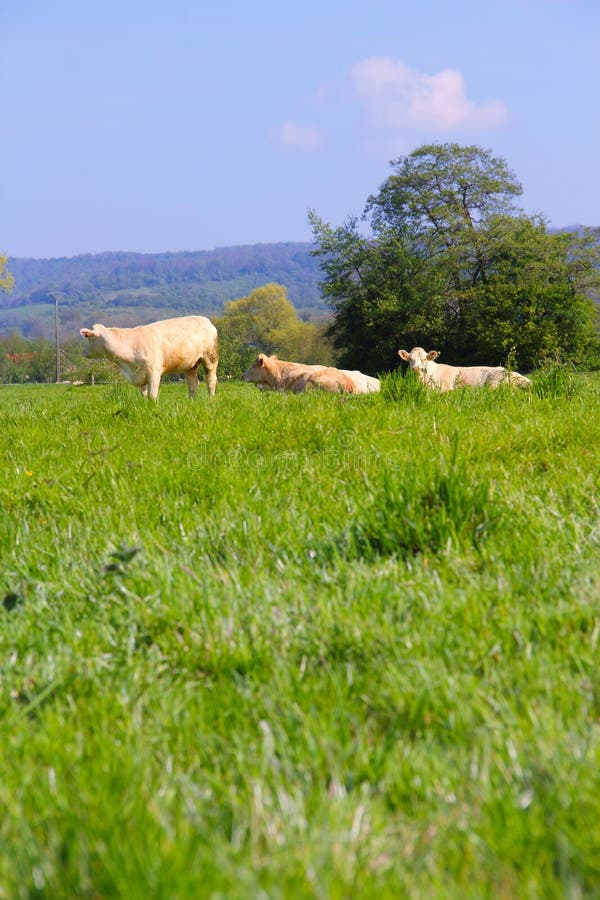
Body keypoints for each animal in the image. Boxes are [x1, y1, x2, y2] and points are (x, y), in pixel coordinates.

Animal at [80, 315, 219, 400]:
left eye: (90, 339)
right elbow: (144, 395)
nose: (83, 352)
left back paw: (211, 399)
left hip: (210, 358)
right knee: (193, 384)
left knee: (211, 380)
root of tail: (205, 320)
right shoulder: (140, 375)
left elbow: (152, 395)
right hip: (190, 365)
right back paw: (192, 401)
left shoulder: (154, 372)